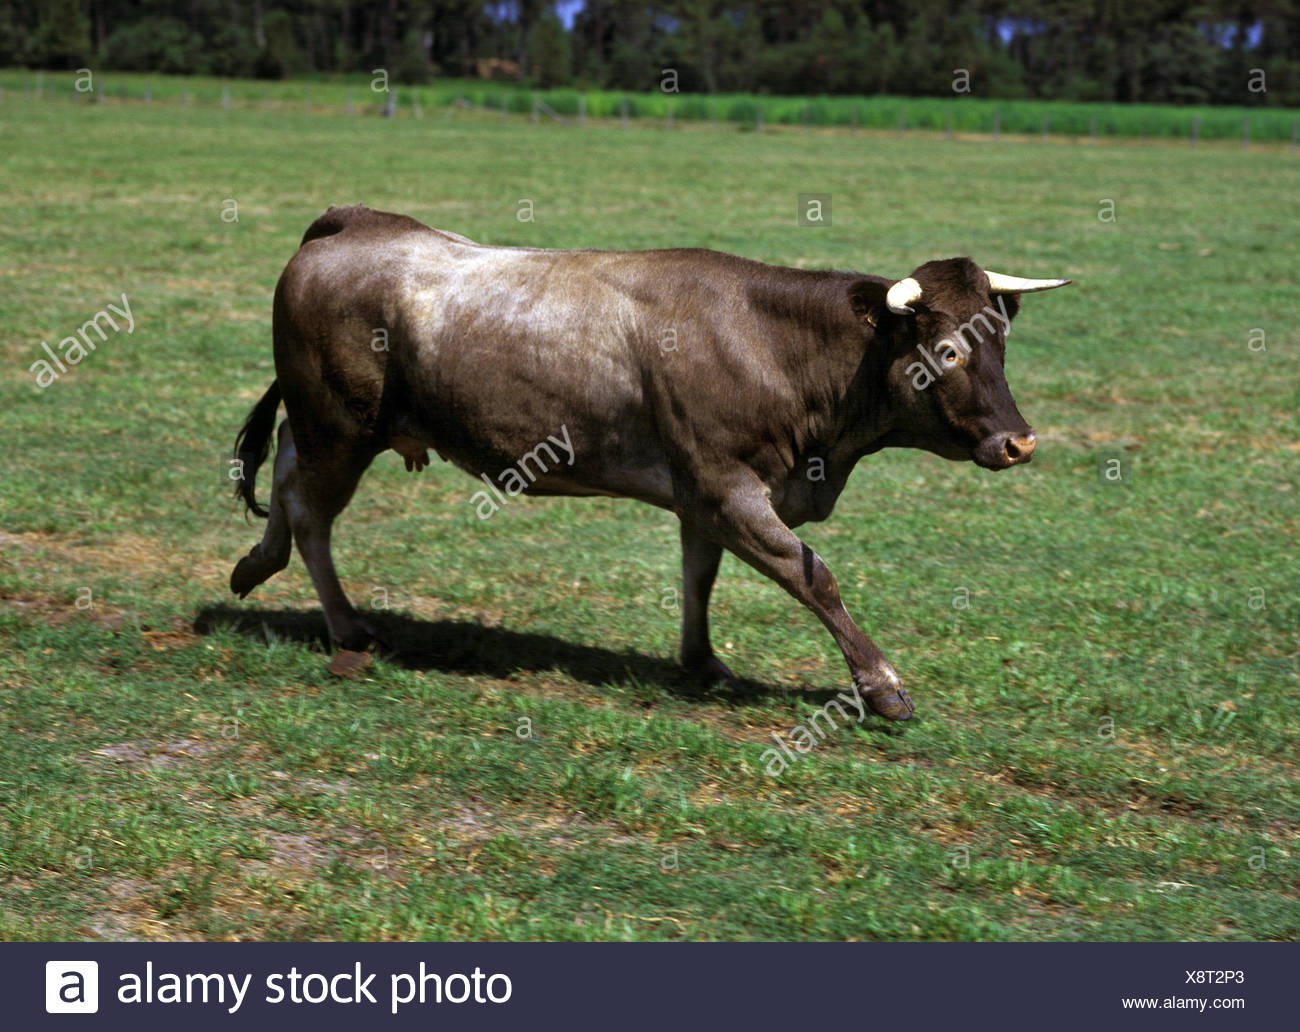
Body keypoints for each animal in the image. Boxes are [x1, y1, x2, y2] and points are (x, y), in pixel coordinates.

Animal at [231, 205, 1070, 721]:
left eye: (1000, 339)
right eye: (946, 350)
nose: (1019, 442)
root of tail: (355, 222)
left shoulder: (706, 493)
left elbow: (700, 576)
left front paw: (702, 661)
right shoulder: (729, 488)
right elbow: (813, 577)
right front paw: (882, 686)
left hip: (330, 422)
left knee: (286, 466)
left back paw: (256, 562)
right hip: (342, 425)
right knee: (310, 509)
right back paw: (345, 627)